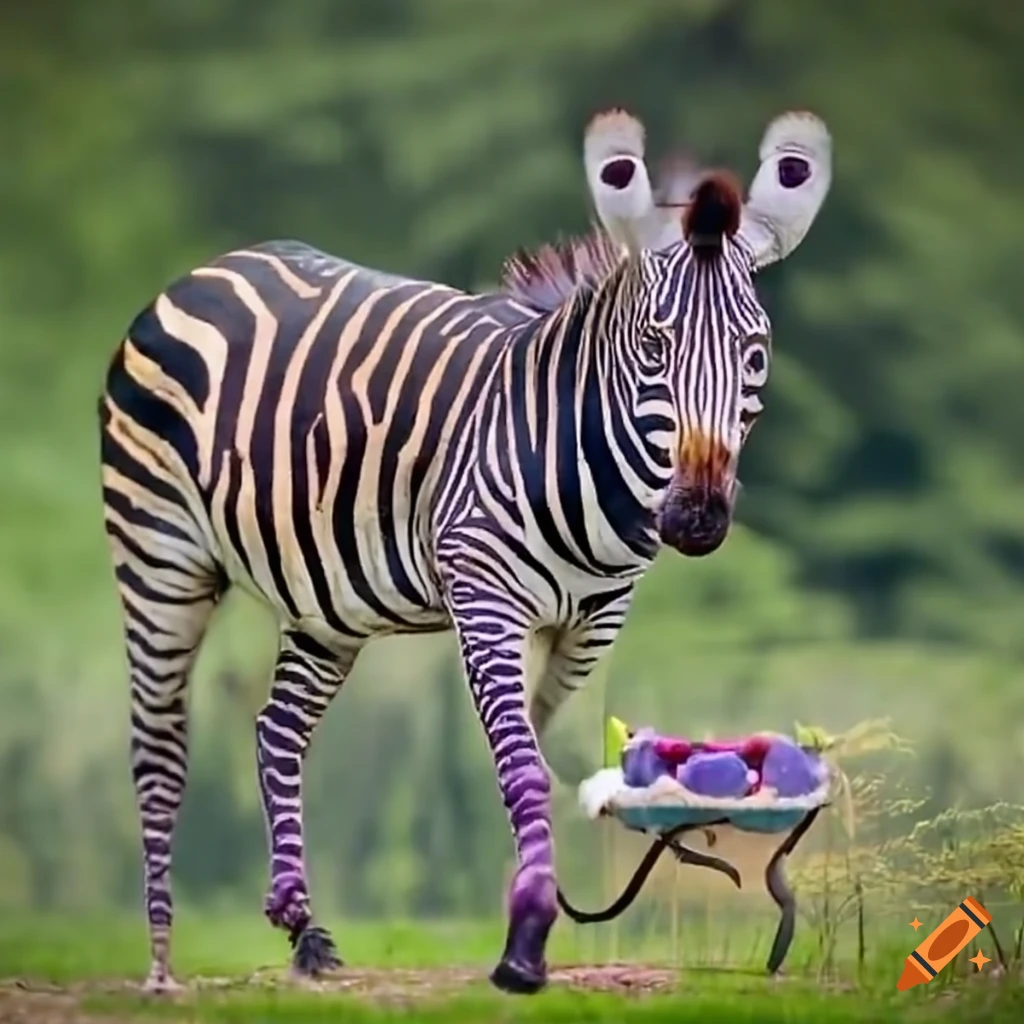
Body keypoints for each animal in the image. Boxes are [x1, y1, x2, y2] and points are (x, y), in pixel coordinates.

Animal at [99, 106, 831, 995]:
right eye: (655, 347)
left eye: (756, 352)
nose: (695, 518)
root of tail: (208, 270)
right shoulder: (486, 597)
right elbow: (522, 765)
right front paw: (526, 943)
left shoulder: (595, 623)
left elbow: (546, 760)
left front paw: (537, 914)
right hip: (160, 556)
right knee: (158, 748)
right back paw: (161, 967)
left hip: (325, 600)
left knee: (276, 730)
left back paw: (302, 927)